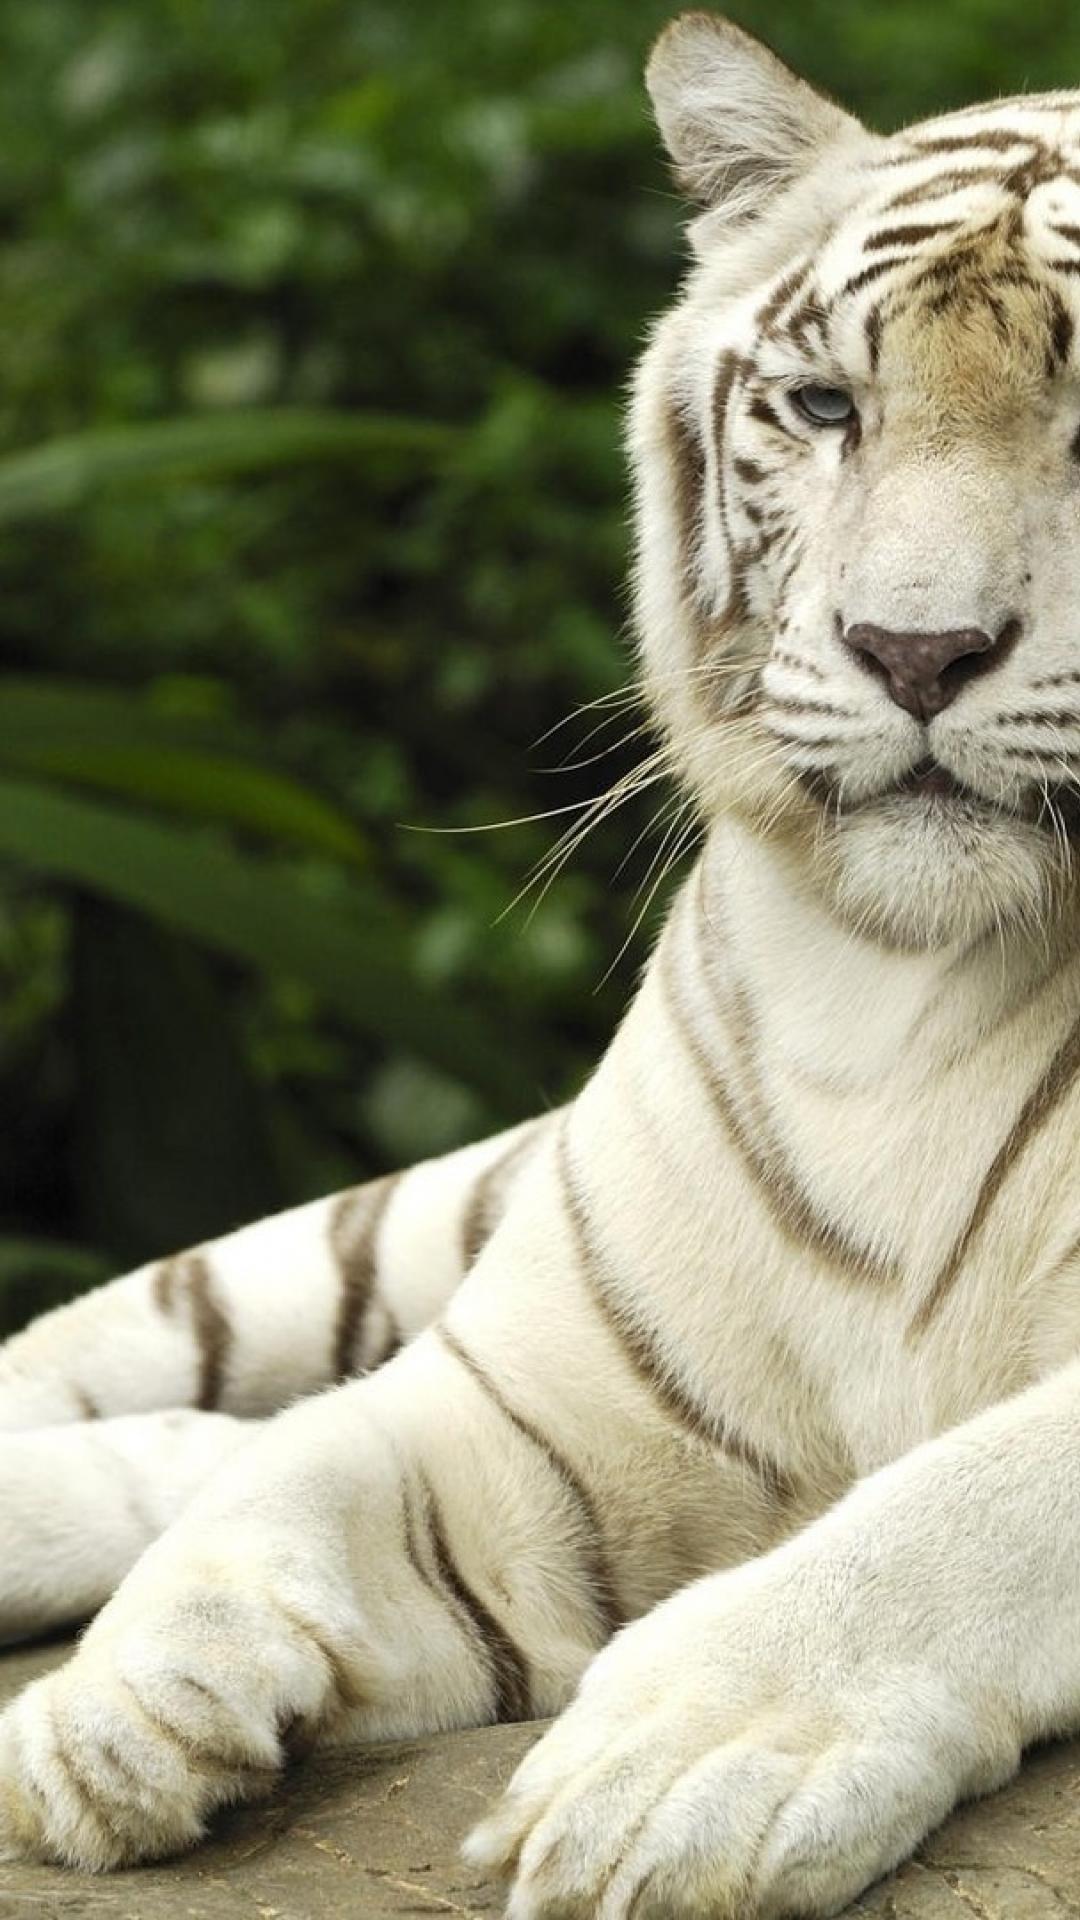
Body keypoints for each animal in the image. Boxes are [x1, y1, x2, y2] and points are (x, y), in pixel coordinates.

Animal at [5, 10, 1080, 1915]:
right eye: (828, 406)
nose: (916, 650)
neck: (916, 991)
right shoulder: (536, 1414)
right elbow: (325, 1468)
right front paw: (115, 1713)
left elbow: (961, 1504)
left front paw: (681, 1768)